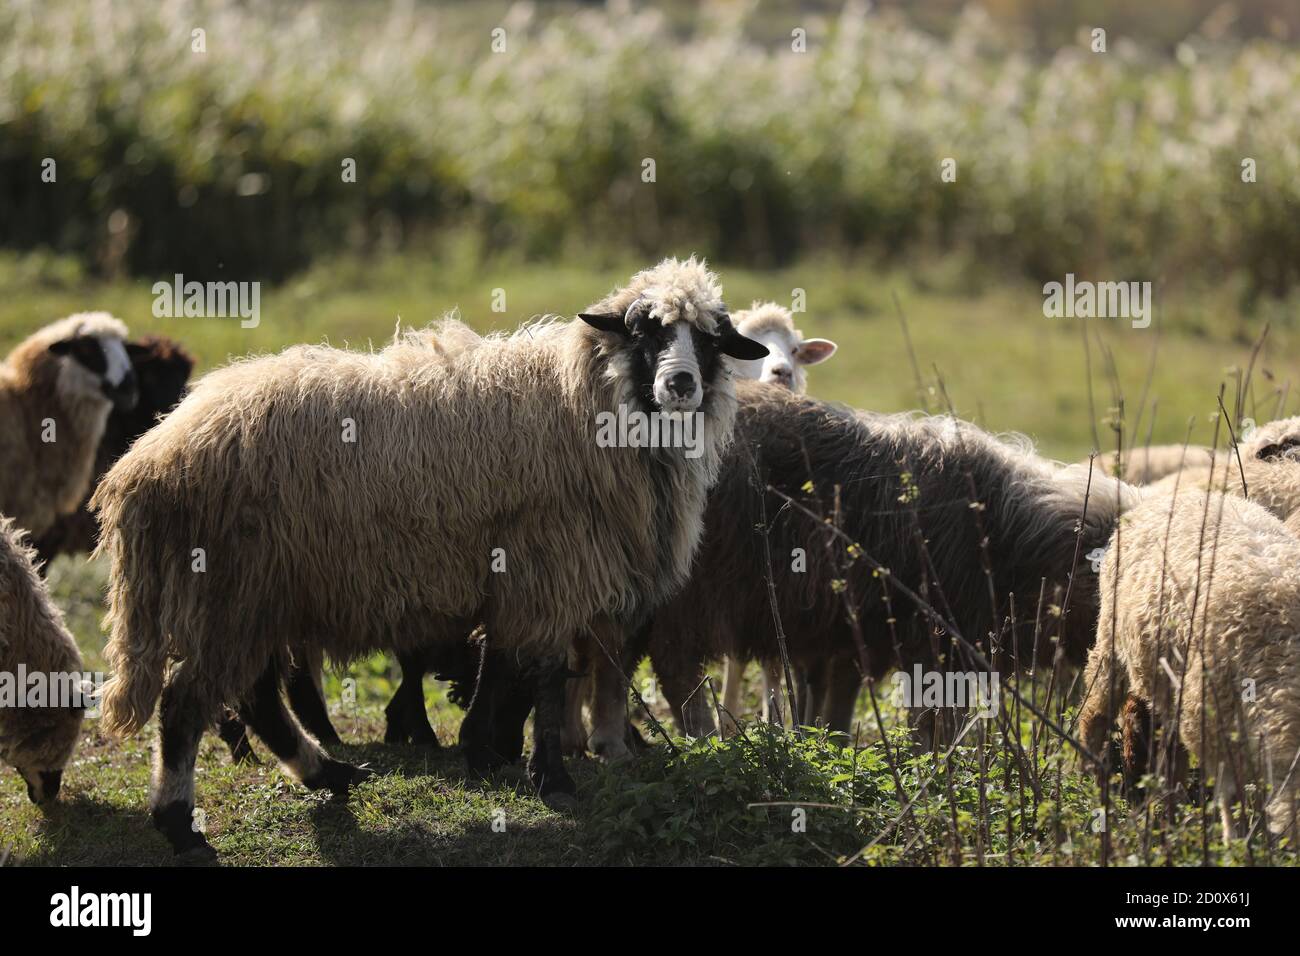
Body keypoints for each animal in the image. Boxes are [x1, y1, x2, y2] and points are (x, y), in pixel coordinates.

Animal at [90, 257, 767, 857]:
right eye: (644, 331)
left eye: (711, 339)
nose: (680, 385)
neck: (588, 400)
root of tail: (147, 460)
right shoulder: (548, 572)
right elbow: (547, 679)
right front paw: (551, 779)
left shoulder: (518, 578)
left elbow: (502, 664)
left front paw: (485, 751)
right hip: (229, 588)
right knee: (185, 703)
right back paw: (182, 826)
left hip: (256, 592)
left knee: (256, 696)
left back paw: (327, 775)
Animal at [1079, 489, 1300, 841]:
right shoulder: (1211, 722)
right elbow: (1231, 796)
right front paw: (1236, 842)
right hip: (1111, 644)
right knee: (1094, 712)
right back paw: (1091, 778)